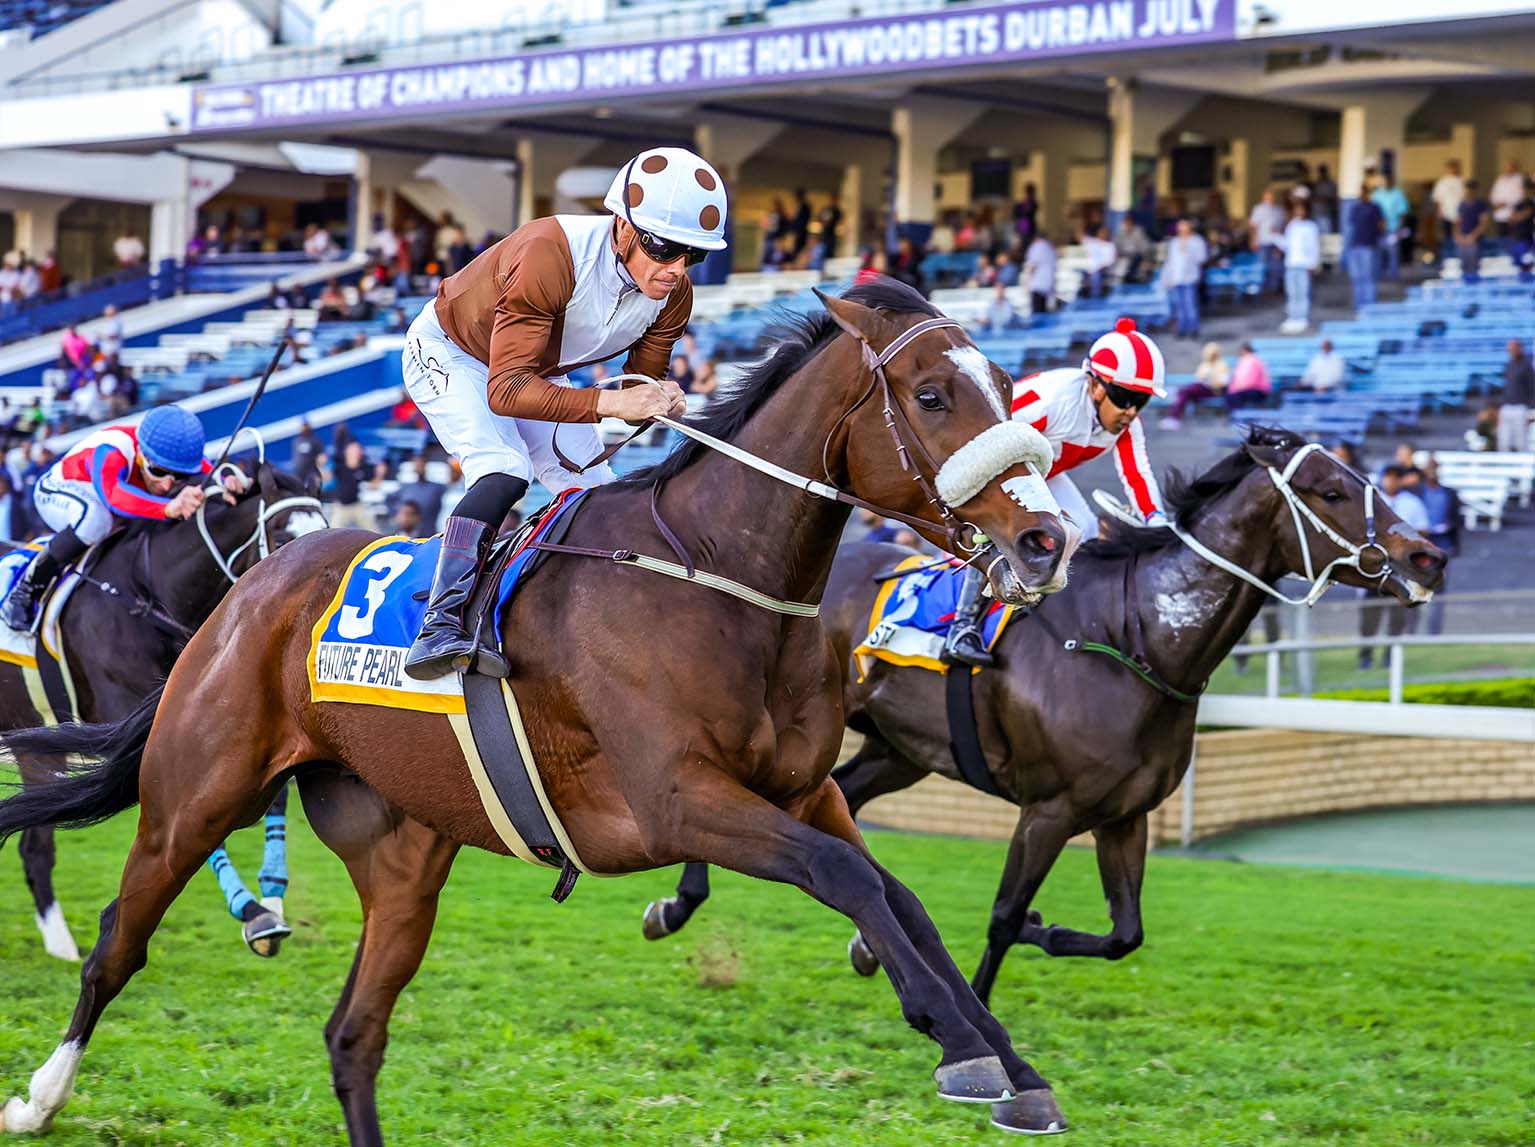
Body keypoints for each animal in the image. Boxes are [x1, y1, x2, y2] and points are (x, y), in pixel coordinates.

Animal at [4, 460, 326, 961]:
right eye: (282, 533)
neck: (149, 595)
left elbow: (275, 796)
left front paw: (271, 899)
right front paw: (252, 910)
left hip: (35, 747)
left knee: (36, 844)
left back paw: (59, 943)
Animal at [639, 427, 1448, 1005]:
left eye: (1363, 478)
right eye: (1329, 489)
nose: (1427, 557)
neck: (1135, 641)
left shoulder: (1124, 815)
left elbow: (1124, 934)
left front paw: (1043, 926)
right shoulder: (1050, 808)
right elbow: (1001, 916)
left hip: (901, 749)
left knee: (850, 799)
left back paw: (863, 939)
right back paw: (679, 904)